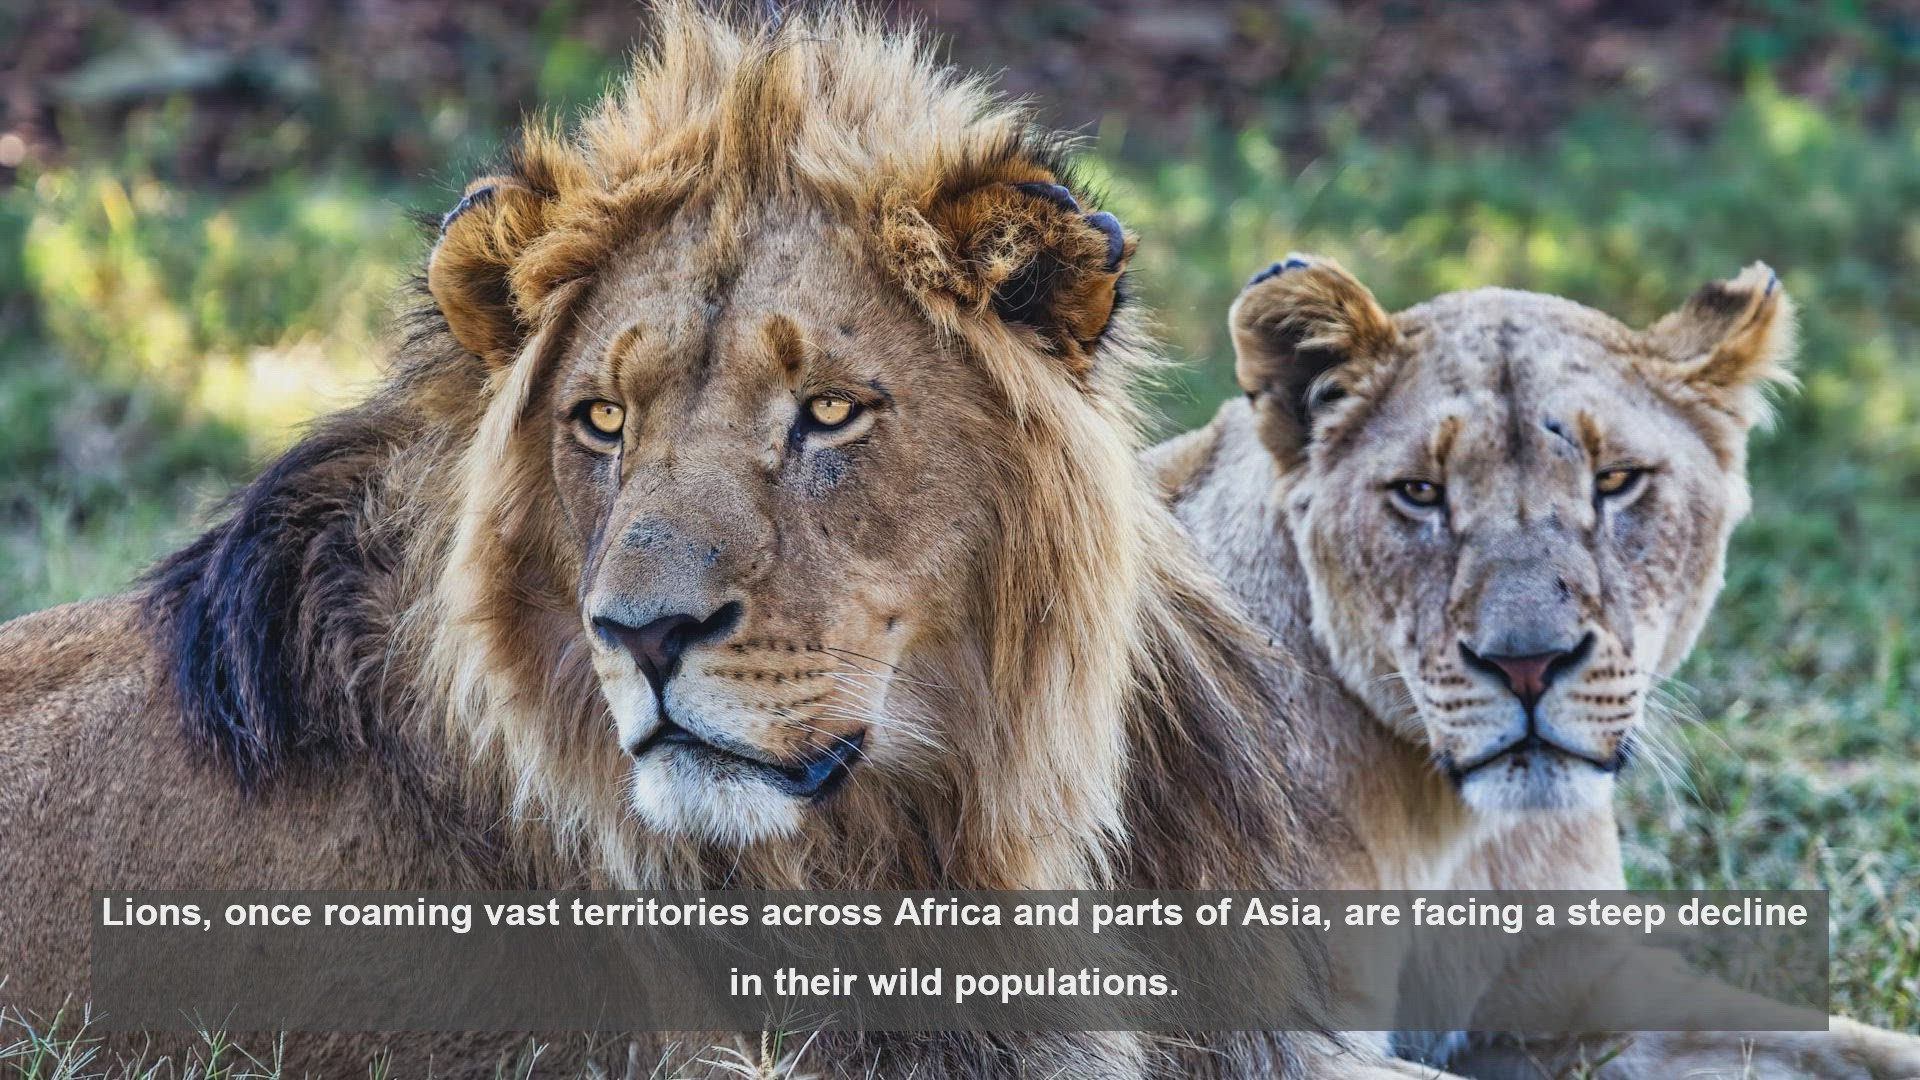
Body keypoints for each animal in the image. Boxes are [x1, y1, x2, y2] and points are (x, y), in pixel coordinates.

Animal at [1150, 254, 1920, 1077]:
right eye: (1420, 493)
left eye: (1616, 479)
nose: (1528, 665)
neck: (1452, 837)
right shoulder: (1267, 1048)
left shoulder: (1590, 984)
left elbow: (1845, 1041)